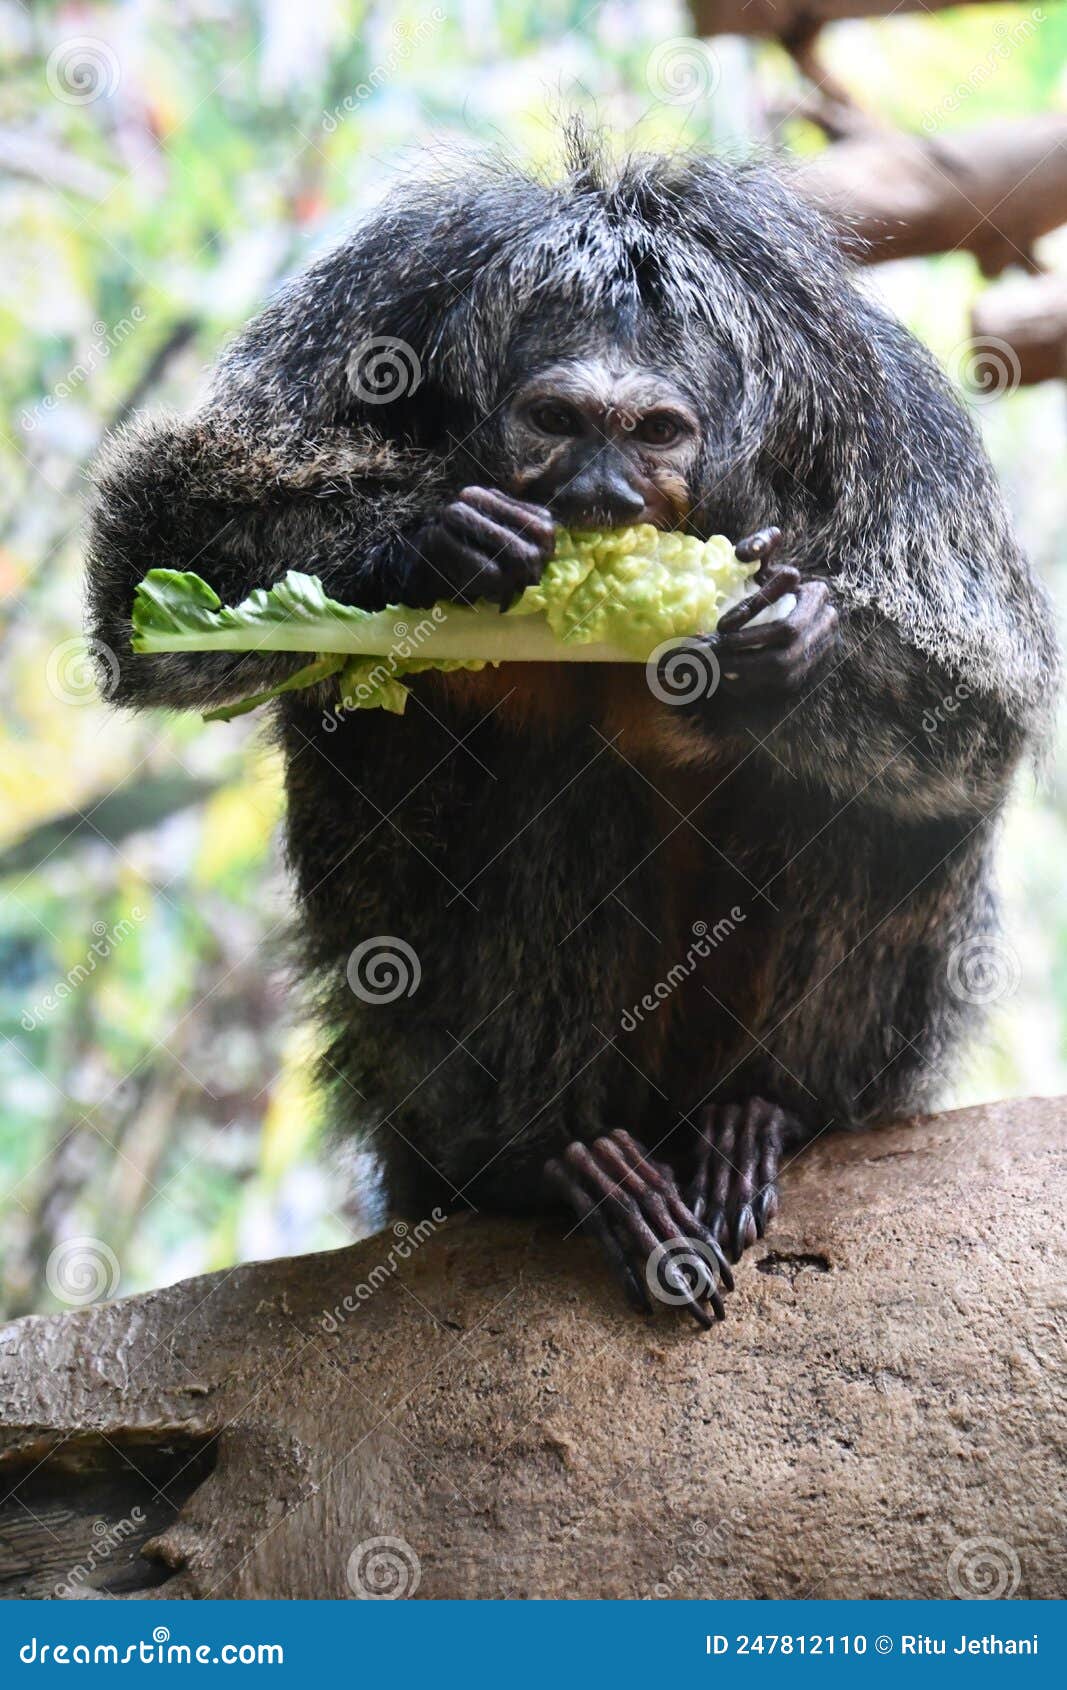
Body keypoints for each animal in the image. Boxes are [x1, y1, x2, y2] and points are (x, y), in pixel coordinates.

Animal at [85, 131, 1058, 1329]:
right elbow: (147, 572)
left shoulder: (888, 420)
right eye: (557, 424)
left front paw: (778, 661)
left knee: (893, 813)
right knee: (514, 779)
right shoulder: (361, 319)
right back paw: (564, 1163)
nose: (600, 497)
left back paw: (756, 1121)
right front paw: (427, 549)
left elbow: (987, 710)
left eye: (653, 434)